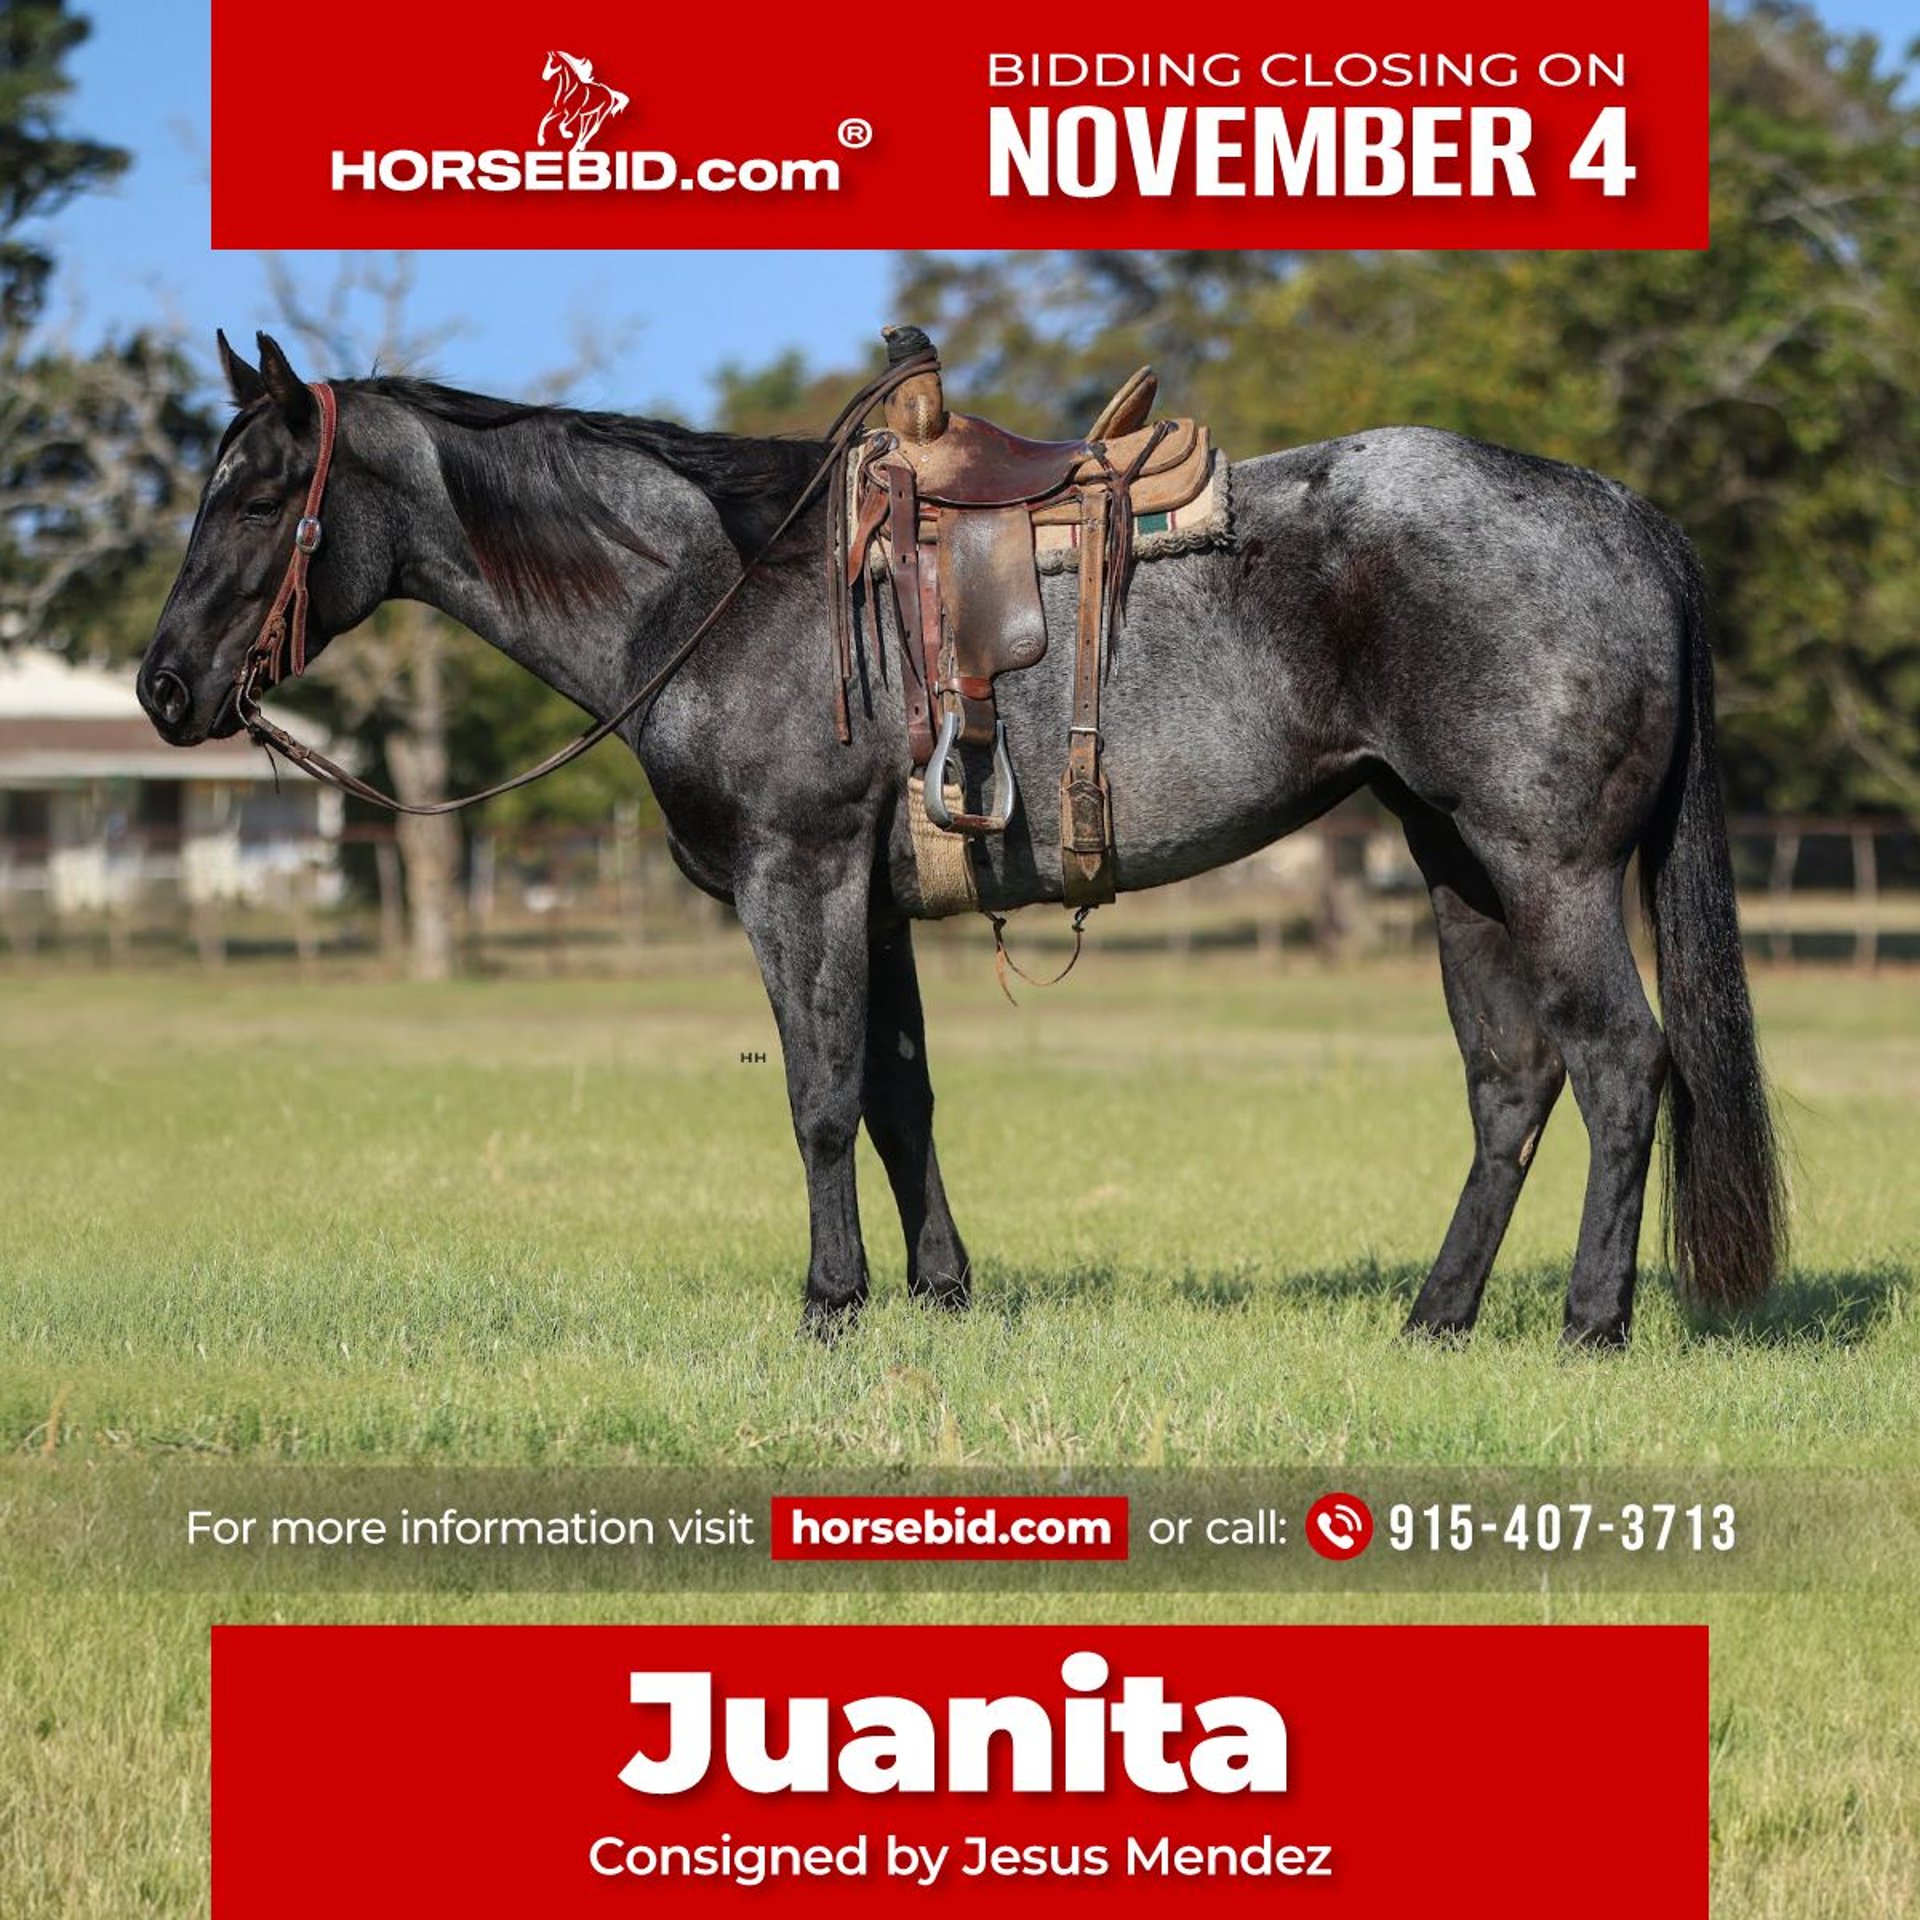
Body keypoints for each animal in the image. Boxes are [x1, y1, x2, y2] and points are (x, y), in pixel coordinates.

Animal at [137, 330, 1784, 1347]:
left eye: (262, 492)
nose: (161, 688)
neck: (719, 590)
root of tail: (1621, 511)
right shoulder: (870, 903)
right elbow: (897, 1098)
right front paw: (937, 1290)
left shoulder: (796, 881)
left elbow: (817, 1096)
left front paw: (831, 1300)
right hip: (1457, 866)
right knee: (1511, 1083)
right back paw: (1437, 1317)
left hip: (1548, 869)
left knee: (1620, 1064)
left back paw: (1589, 1321)